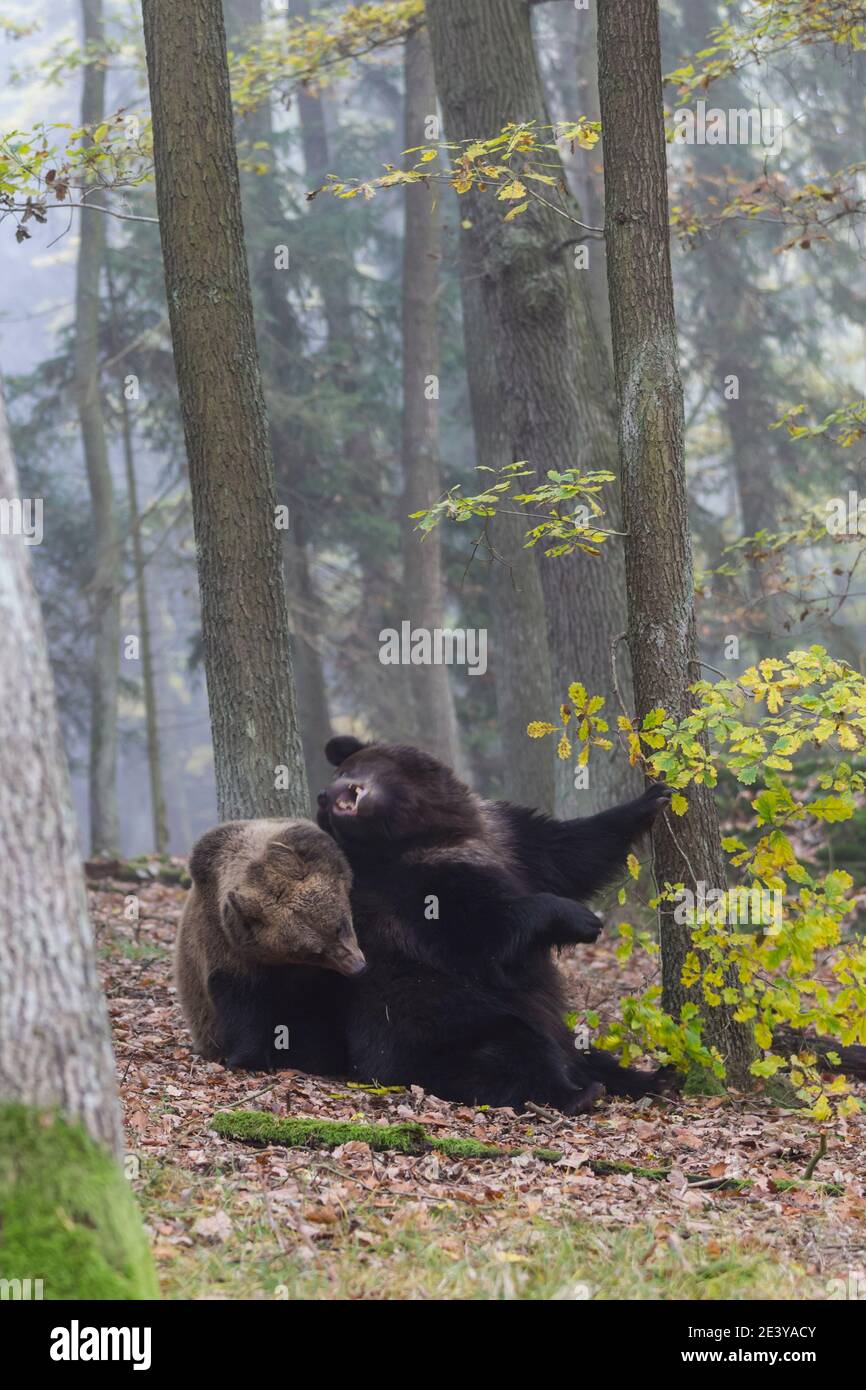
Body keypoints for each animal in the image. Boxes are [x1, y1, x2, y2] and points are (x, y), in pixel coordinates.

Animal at [175, 818, 365, 1074]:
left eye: (339, 926)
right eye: (313, 952)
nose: (357, 967)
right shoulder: (226, 946)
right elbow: (243, 1006)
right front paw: (248, 1061)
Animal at [316, 736, 673, 1114]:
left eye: (344, 770)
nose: (323, 796)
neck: (428, 830)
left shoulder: (509, 838)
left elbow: (573, 849)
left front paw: (655, 797)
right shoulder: (416, 887)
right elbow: (483, 929)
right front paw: (581, 919)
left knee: (584, 1053)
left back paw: (652, 1077)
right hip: (440, 1020)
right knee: (508, 1050)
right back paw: (577, 1093)